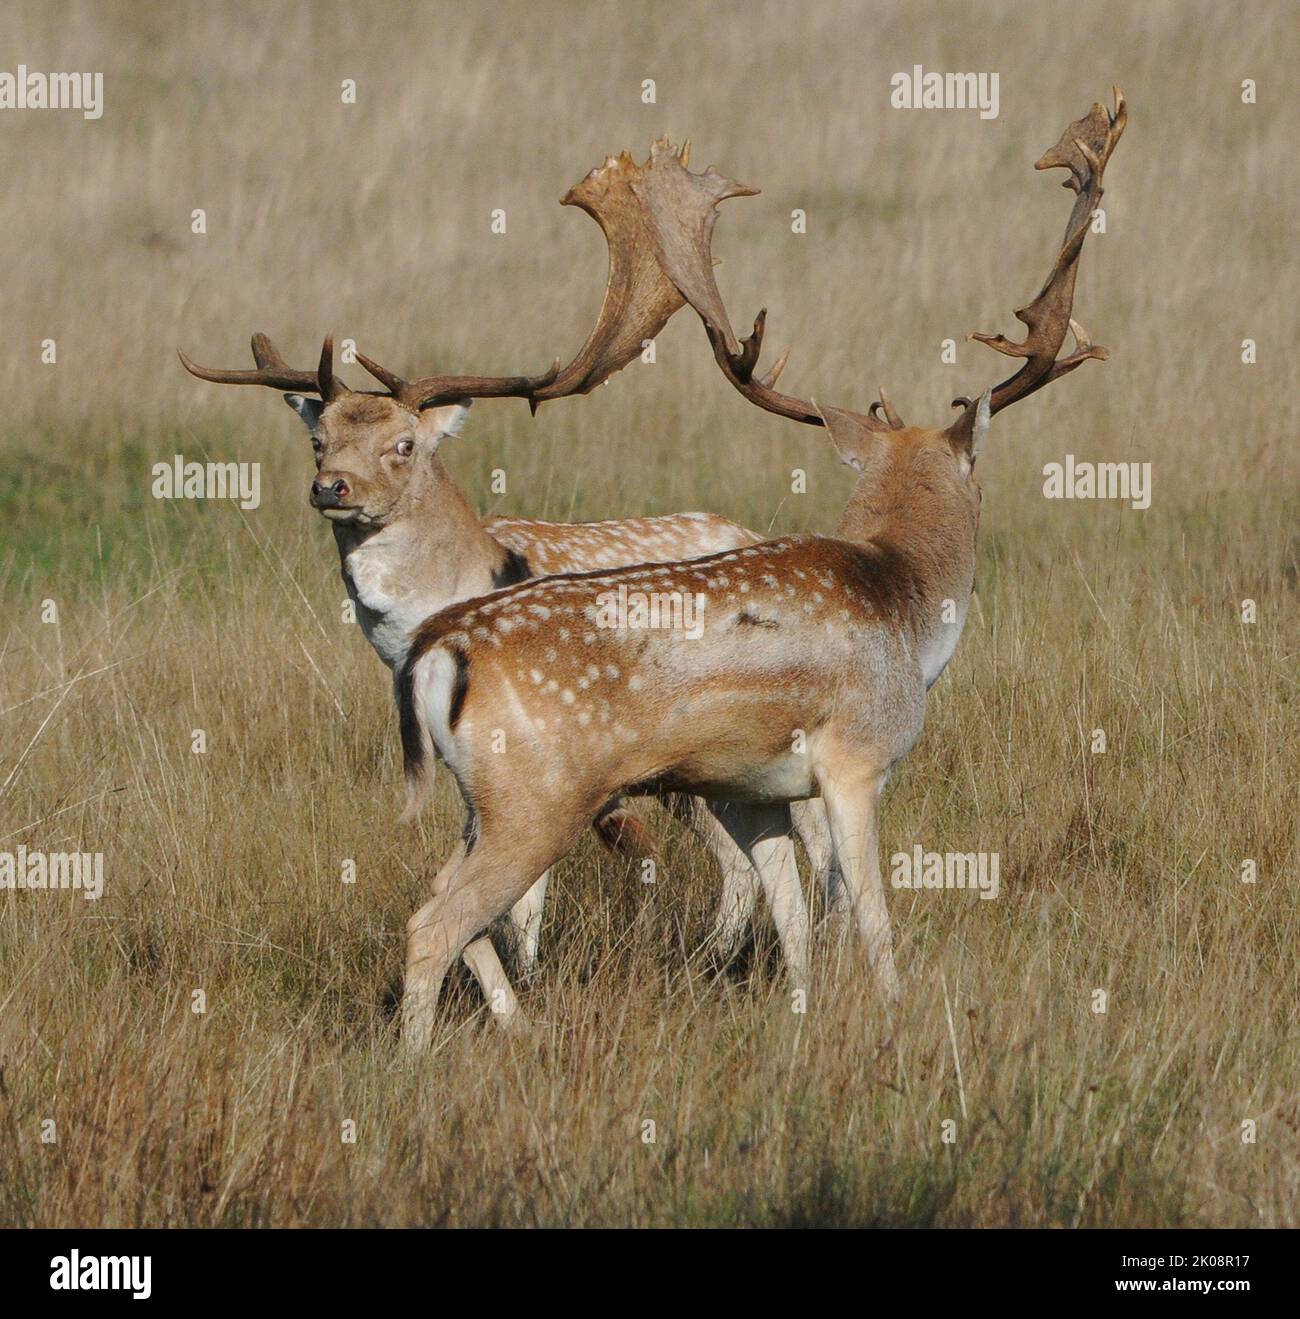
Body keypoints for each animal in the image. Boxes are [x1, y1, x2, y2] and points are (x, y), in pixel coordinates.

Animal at [179, 140, 841, 991]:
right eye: (319, 438)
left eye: (404, 444)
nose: (331, 488)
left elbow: (526, 888)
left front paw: (524, 975)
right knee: (752, 853)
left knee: (797, 838)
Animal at [392, 91, 1126, 1053]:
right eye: (977, 476)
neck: (904, 602)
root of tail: (439, 645)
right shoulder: (856, 756)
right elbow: (869, 917)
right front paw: (894, 1013)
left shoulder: (752, 794)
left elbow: (798, 926)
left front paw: (804, 1018)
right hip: (536, 796)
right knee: (433, 924)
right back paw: (413, 1062)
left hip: (479, 797)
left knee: (443, 908)